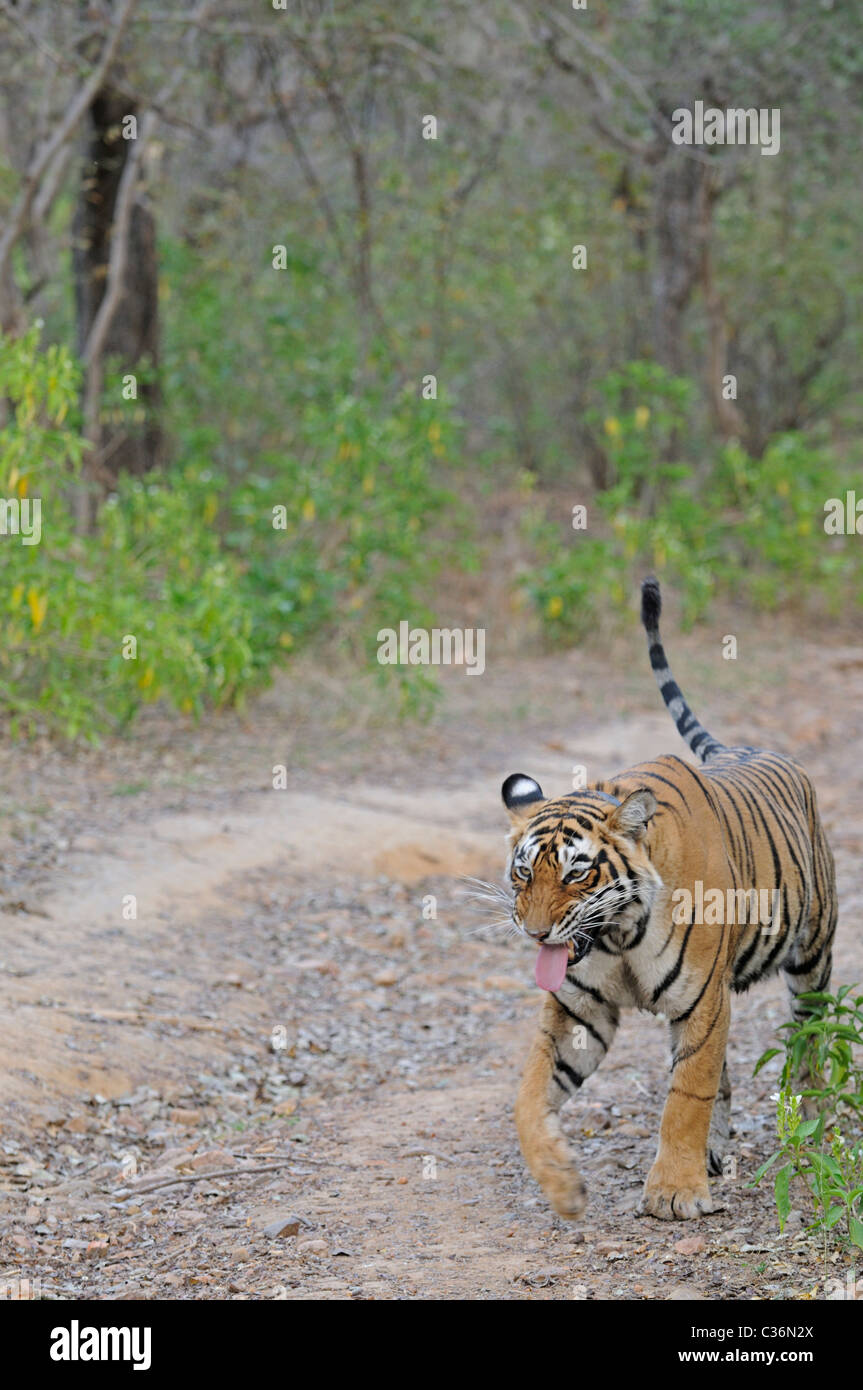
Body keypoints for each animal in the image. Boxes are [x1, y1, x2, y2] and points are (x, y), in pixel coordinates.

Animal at [501, 577, 837, 1221]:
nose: (534, 935)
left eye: (576, 874)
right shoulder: (580, 1011)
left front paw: (674, 1192)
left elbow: (687, 1093)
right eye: (523, 874)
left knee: (809, 1038)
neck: (617, 933)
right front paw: (561, 1184)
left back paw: (813, 1124)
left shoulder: (702, 1000)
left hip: (812, 956)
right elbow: (529, 1095)